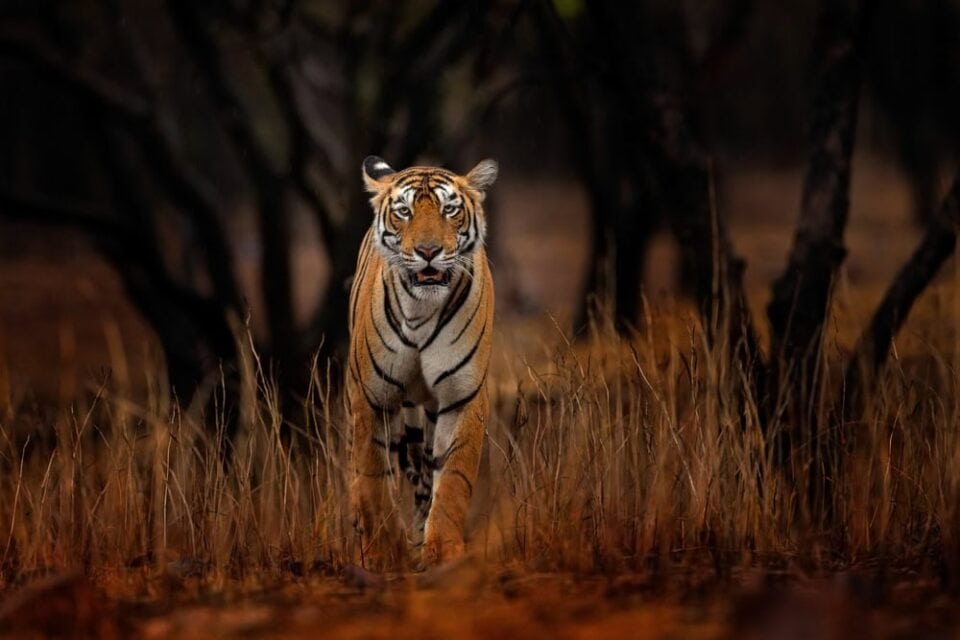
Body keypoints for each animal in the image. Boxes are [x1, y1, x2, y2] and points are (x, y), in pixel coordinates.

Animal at [346, 155, 497, 569]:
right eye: (404, 212)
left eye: (449, 210)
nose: (428, 251)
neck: (421, 310)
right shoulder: (373, 396)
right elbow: (373, 475)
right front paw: (382, 552)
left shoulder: (462, 397)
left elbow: (454, 480)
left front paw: (442, 551)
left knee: (425, 473)